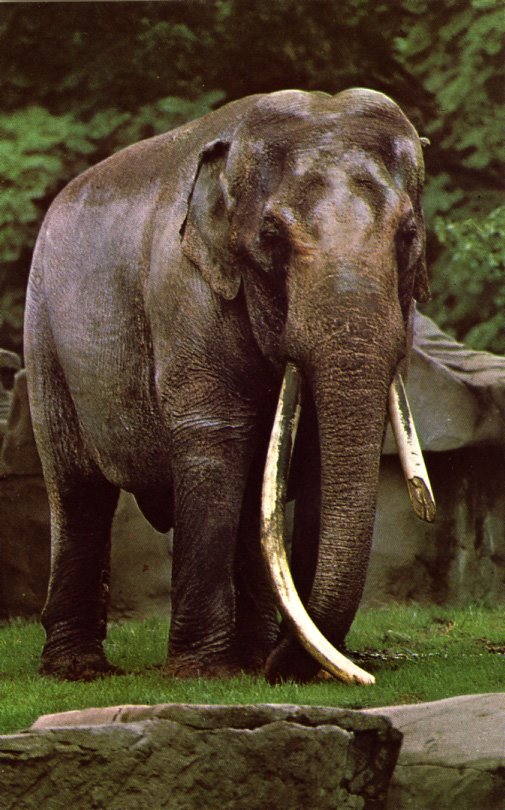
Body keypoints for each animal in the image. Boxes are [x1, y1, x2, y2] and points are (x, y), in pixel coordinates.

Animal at [24, 88, 431, 684]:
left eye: (408, 236)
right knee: (78, 490)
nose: (286, 670)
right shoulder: (185, 293)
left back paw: (250, 654)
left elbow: (306, 457)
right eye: (271, 236)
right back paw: (77, 671)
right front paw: (202, 674)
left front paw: (267, 663)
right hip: (44, 336)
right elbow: (215, 442)